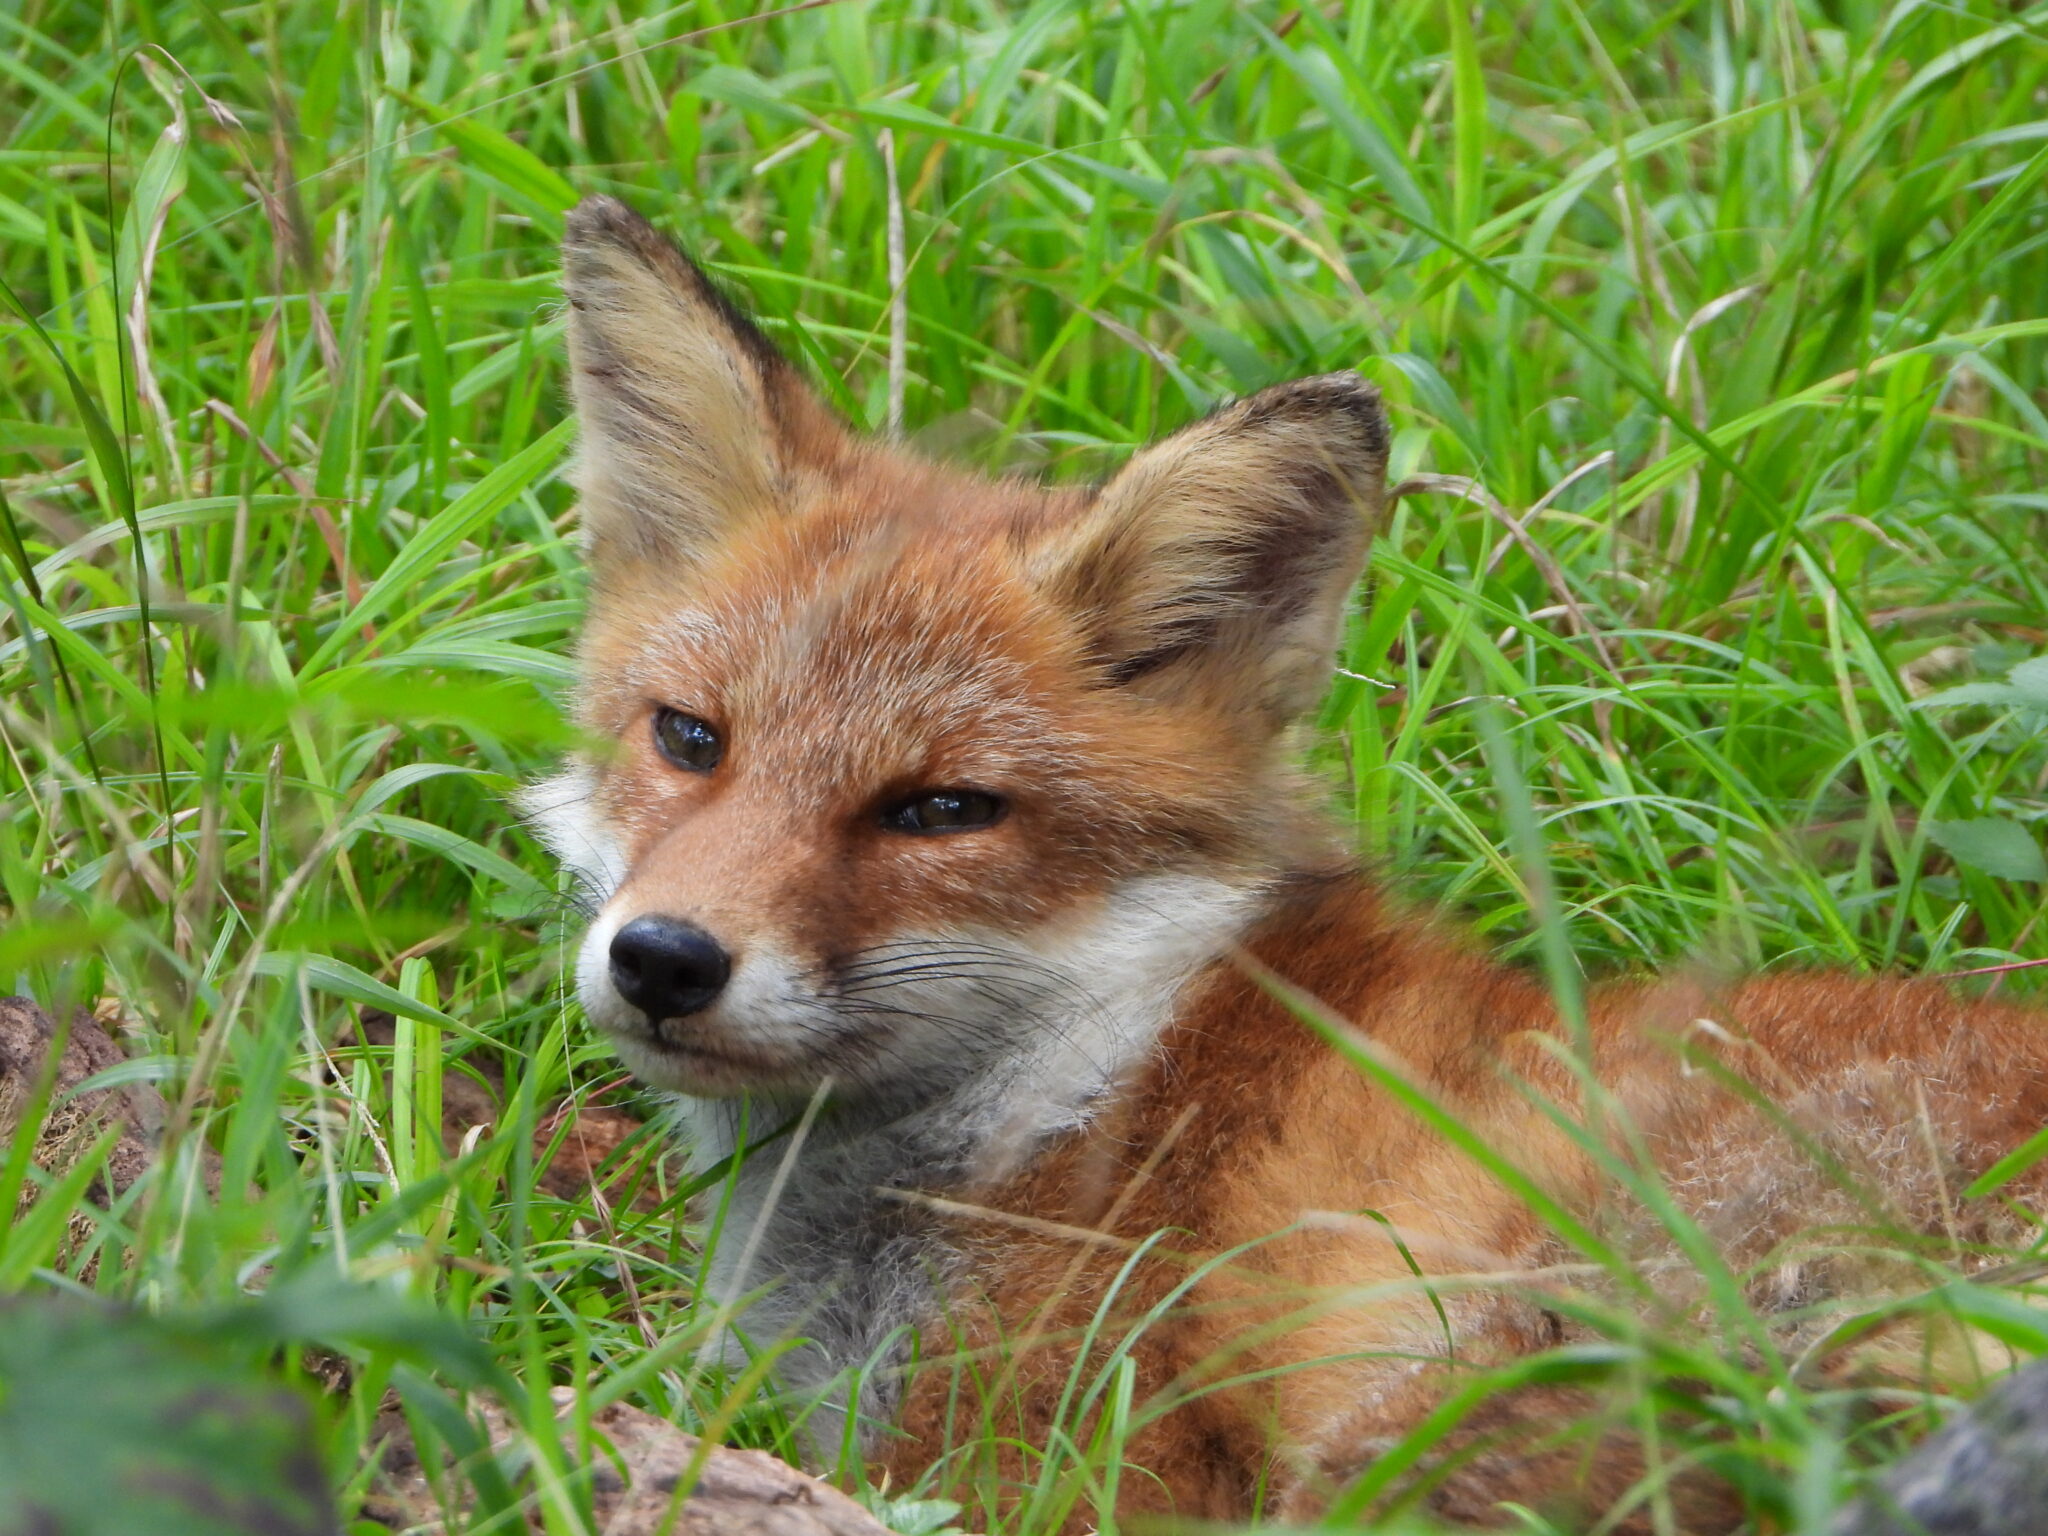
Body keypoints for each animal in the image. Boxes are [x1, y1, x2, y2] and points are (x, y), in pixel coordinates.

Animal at [526, 194, 2048, 1530]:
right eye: (690, 739)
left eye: (941, 810)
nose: (663, 959)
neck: (1093, 1072)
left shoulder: (1074, 1466)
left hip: (1441, 1410)